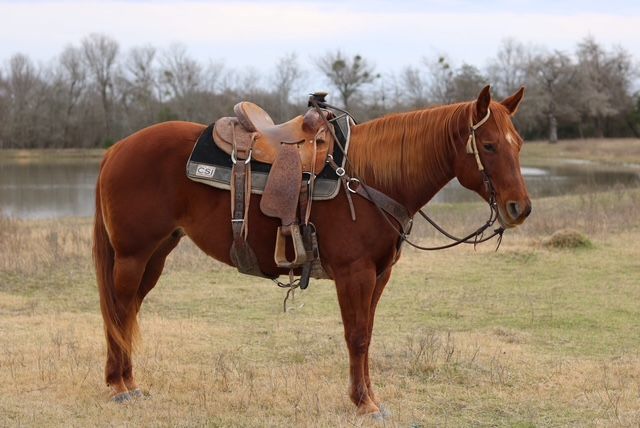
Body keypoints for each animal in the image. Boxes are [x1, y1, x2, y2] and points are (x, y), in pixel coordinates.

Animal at [93, 85, 531, 415]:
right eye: (488, 145)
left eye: (519, 144)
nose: (519, 208)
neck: (369, 178)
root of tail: (116, 149)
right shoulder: (355, 274)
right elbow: (357, 336)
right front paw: (363, 404)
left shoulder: (379, 274)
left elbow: (368, 333)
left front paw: (370, 397)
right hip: (133, 255)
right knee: (120, 309)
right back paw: (119, 386)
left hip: (156, 254)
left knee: (129, 310)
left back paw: (127, 381)